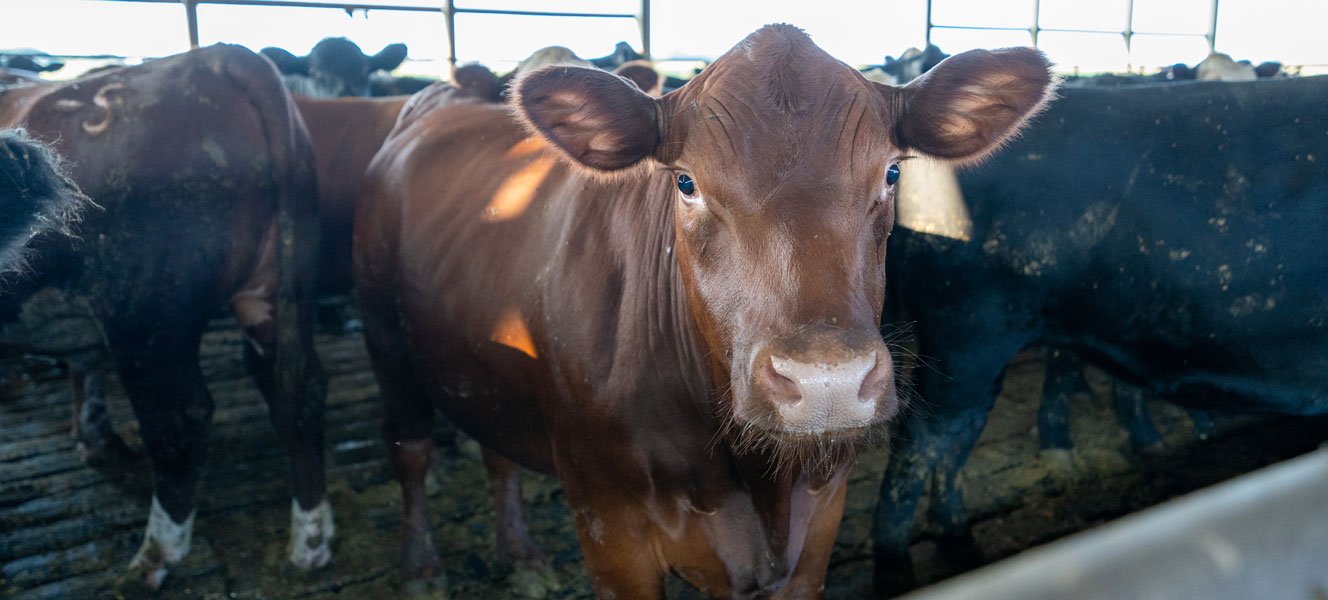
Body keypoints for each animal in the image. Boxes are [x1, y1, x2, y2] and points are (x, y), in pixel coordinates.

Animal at [354, 23, 1054, 598]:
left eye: (891, 174)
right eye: (686, 182)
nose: (825, 381)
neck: (755, 485)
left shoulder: (816, 533)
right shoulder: (611, 534)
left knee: (495, 446)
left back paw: (520, 553)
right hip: (385, 337)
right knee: (411, 447)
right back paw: (421, 567)